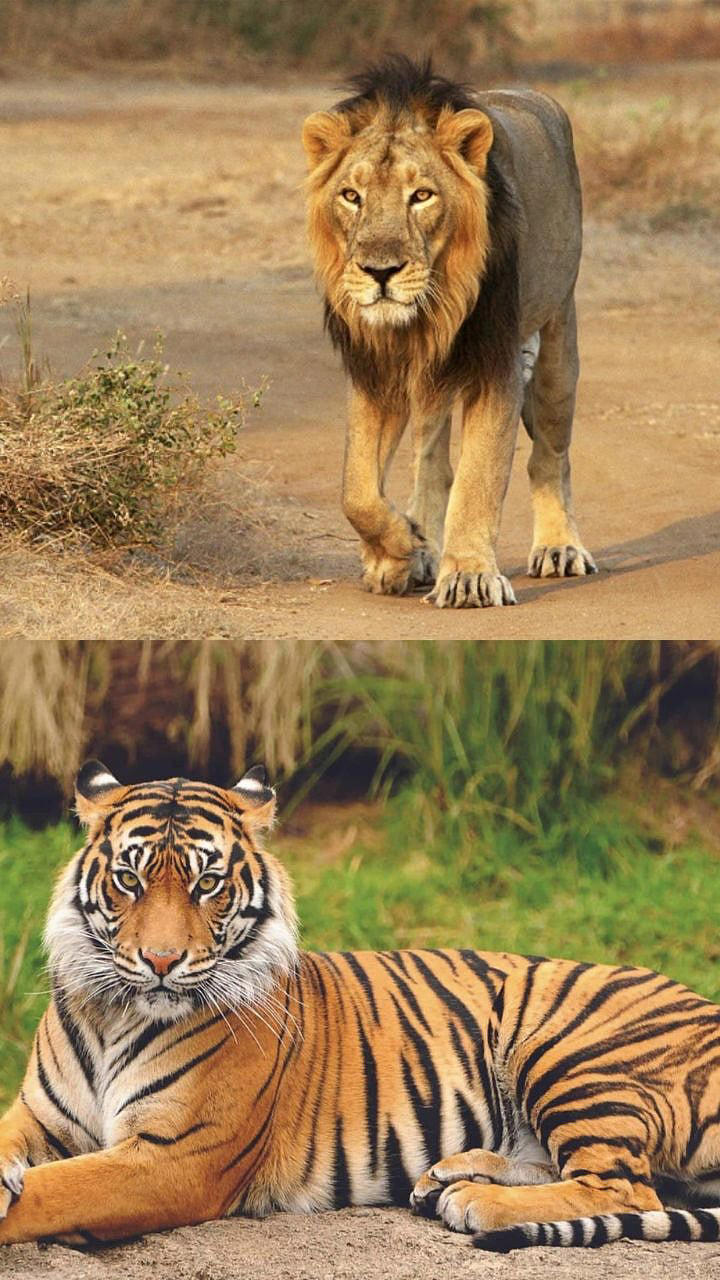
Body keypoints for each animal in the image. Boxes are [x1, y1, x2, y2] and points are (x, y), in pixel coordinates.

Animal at [2, 761, 720, 1252]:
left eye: (208, 884)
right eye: (130, 879)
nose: (159, 961)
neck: (114, 1012)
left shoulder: (175, 1156)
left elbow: (55, 1190)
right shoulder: (38, 1116)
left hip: (565, 1045)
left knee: (623, 1184)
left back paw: (474, 1203)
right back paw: (449, 1176)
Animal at [302, 56, 597, 608]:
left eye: (422, 196)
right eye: (351, 196)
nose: (379, 271)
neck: (422, 319)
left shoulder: (496, 365)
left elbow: (480, 478)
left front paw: (468, 575)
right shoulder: (377, 371)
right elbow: (356, 490)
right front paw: (402, 548)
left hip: (556, 340)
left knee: (551, 455)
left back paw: (559, 546)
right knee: (432, 464)